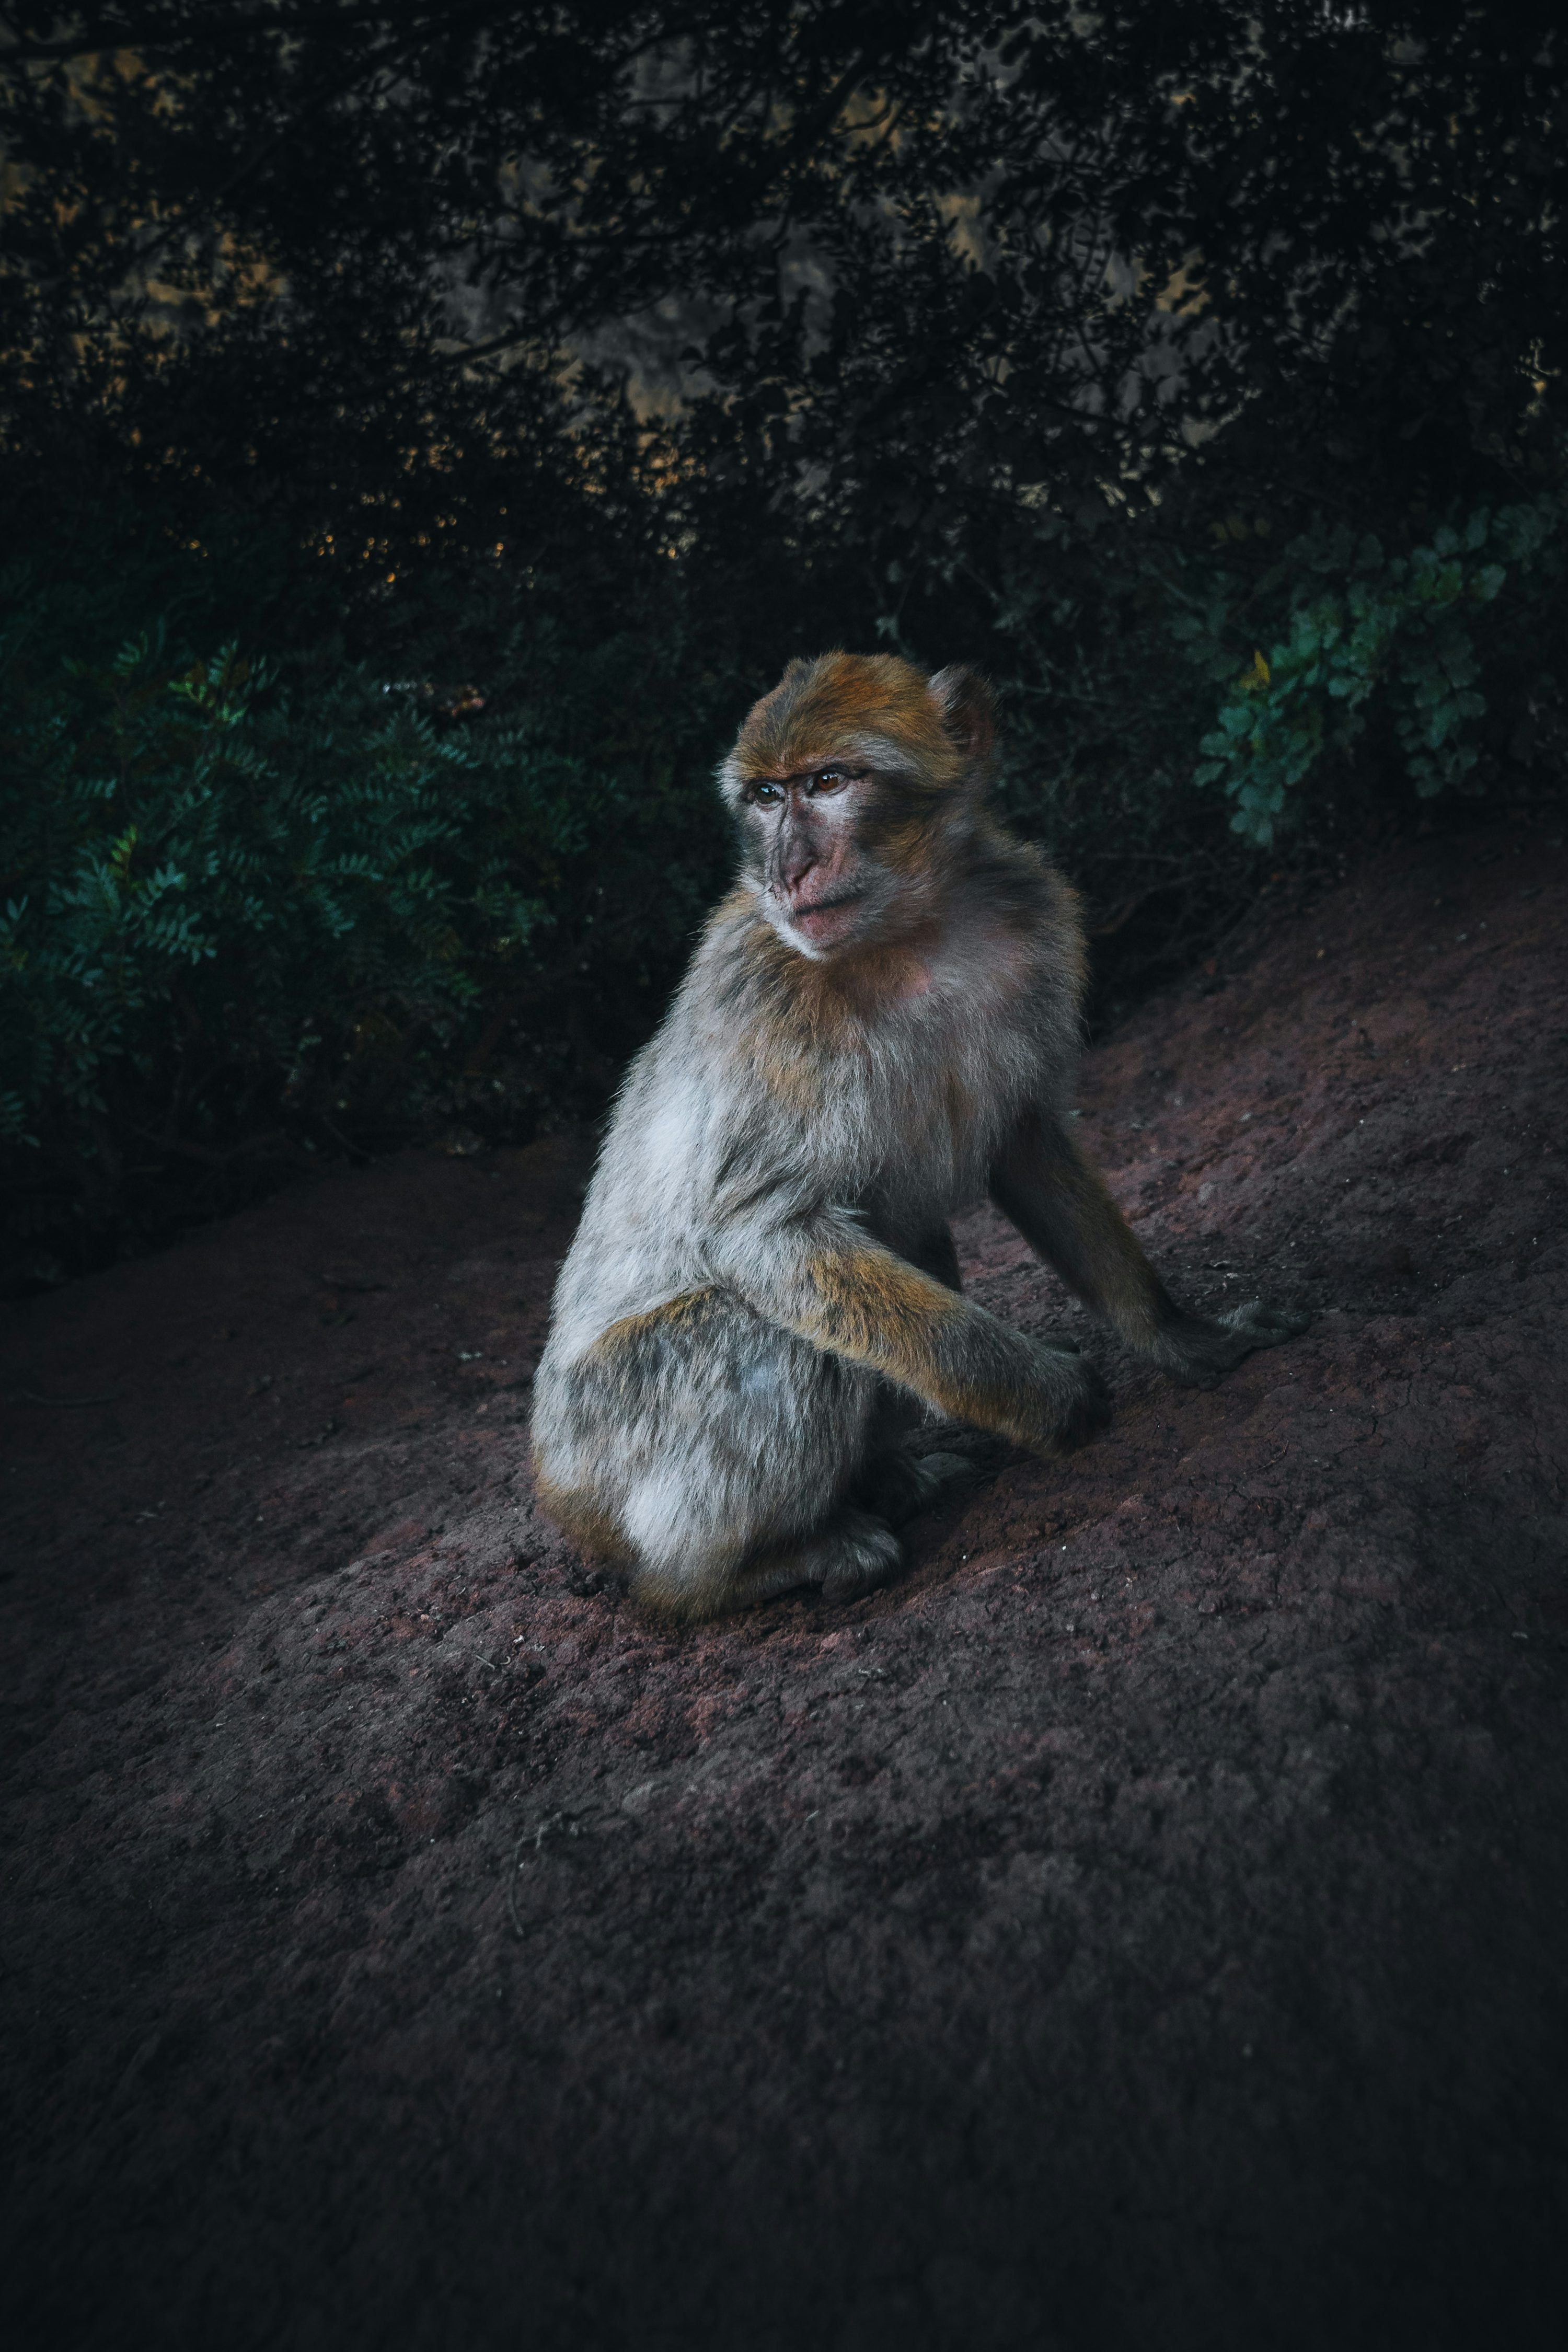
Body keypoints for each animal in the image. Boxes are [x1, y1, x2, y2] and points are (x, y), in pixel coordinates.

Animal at [530, 651, 1308, 1619]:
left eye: (828, 783)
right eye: (765, 796)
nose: (786, 869)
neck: (910, 936)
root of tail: (563, 1501)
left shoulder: (1032, 923)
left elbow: (1025, 1142)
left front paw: (1179, 1334)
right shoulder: (766, 1000)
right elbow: (763, 1235)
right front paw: (1049, 1396)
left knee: (908, 1238)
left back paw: (885, 1478)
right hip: (615, 1450)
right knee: (759, 1332)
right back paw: (748, 1568)